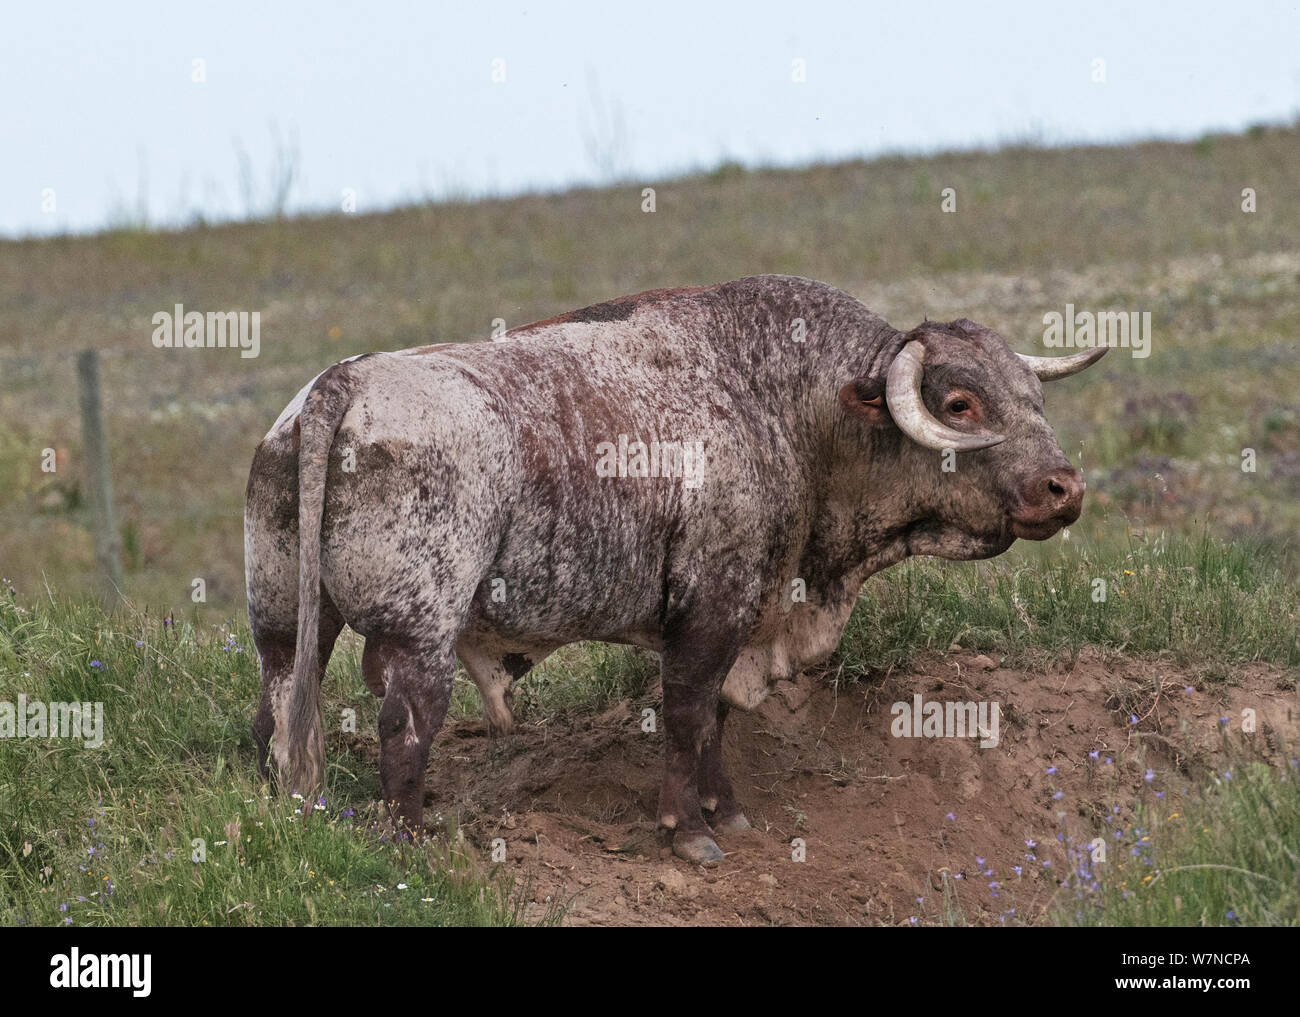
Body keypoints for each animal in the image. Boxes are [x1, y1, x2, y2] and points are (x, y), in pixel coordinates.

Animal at [244, 274, 1105, 863]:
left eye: (1031, 395)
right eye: (959, 403)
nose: (1065, 487)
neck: (781, 405)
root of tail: (344, 383)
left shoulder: (741, 618)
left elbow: (717, 718)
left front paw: (727, 809)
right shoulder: (710, 611)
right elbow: (690, 713)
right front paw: (688, 830)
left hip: (285, 627)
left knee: (274, 714)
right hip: (422, 637)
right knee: (405, 726)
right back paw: (410, 840)